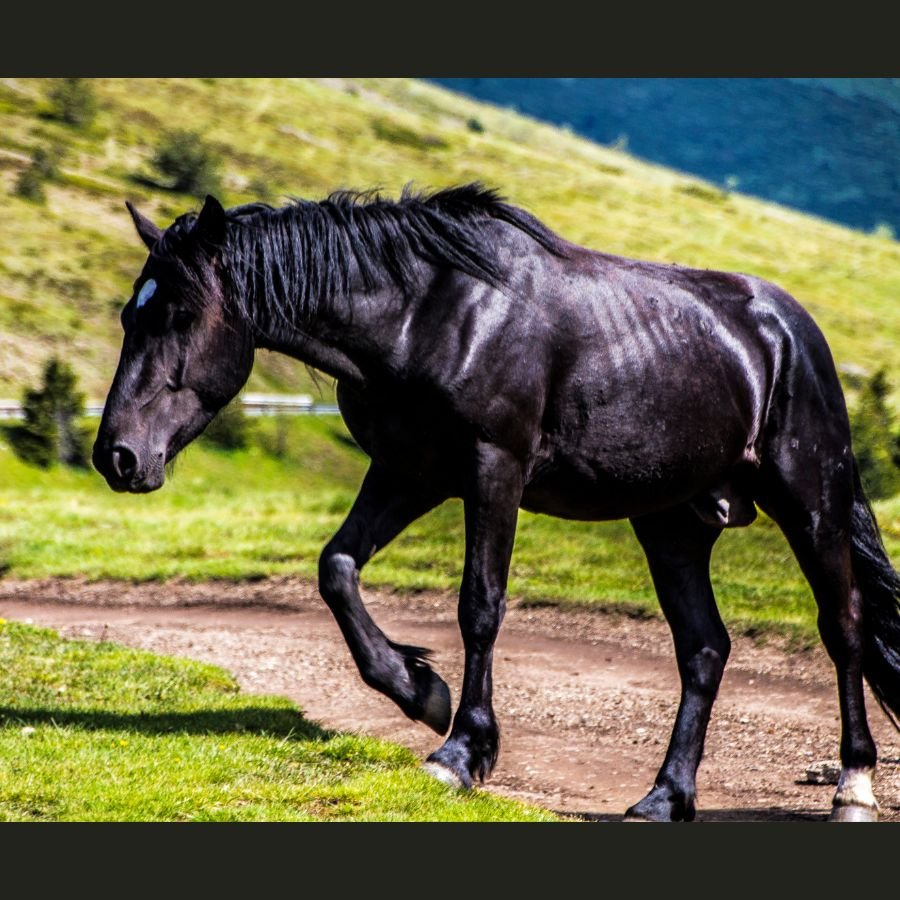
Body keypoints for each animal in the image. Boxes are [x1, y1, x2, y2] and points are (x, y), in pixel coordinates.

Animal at [92, 185, 900, 822]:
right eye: (132, 317)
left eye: (181, 316)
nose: (117, 456)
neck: (428, 315)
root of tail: (790, 331)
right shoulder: (408, 472)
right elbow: (337, 567)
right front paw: (418, 690)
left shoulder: (493, 469)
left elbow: (480, 604)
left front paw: (460, 750)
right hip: (672, 524)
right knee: (704, 649)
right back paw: (665, 796)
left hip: (811, 503)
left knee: (844, 628)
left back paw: (853, 786)